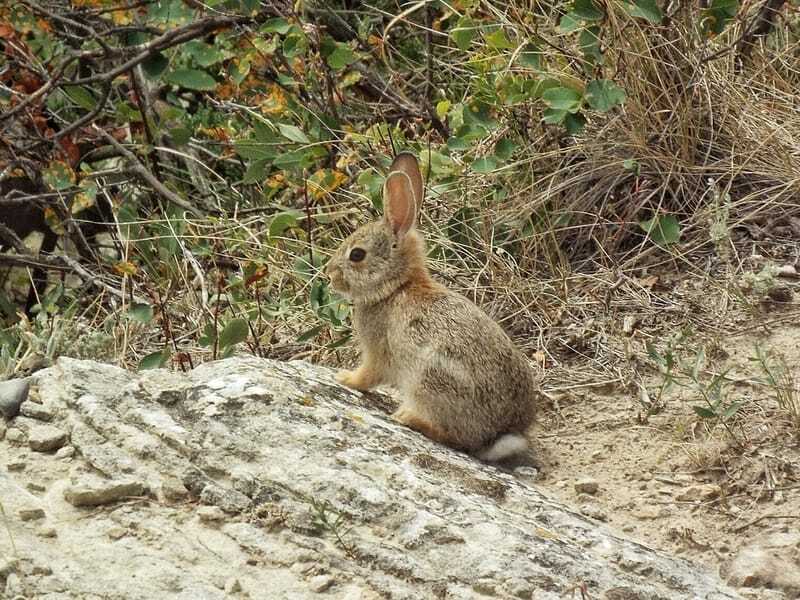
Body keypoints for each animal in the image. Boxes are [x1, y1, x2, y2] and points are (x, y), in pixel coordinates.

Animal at [324, 151, 536, 460]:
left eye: (357, 255)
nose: (329, 275)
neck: (396, 287)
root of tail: (497, 436)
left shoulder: (378, 351)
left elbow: (368, 375)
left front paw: (345, 379)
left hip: (429, 380)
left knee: (456, 438)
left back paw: (408, 418)